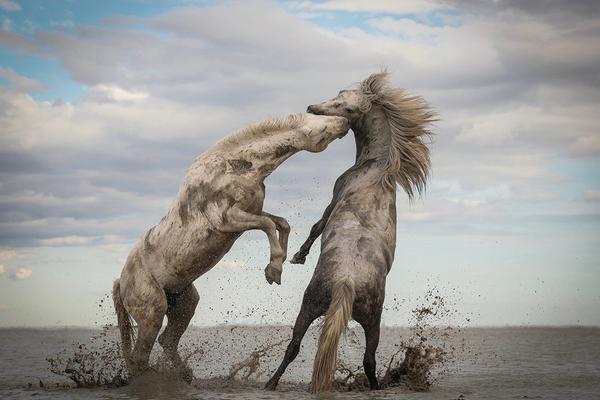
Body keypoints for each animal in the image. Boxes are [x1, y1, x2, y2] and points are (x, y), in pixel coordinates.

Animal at [111, 111, 352, 378]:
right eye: (319, 127)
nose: (346, 122)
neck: (235, 167)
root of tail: (122, 282)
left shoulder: (251, 211)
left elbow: (282, 224)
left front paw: (283, 263)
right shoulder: (228, 219)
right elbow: (268, 225)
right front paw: (273, 269)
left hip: (183, 303)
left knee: (167, 341)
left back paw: (186, 376)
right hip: (152, 312)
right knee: (140, 357)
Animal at [264, 72, 434, 394]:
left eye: (349, 108)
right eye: (339, 93)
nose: (313, 108)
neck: (376, 169)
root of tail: (346, 281)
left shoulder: (335, 196)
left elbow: (317, 226)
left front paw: (298, 256)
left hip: (310, 305)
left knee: (295, 347)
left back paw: (271, 382)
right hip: (368, 322)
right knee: (366, 360)